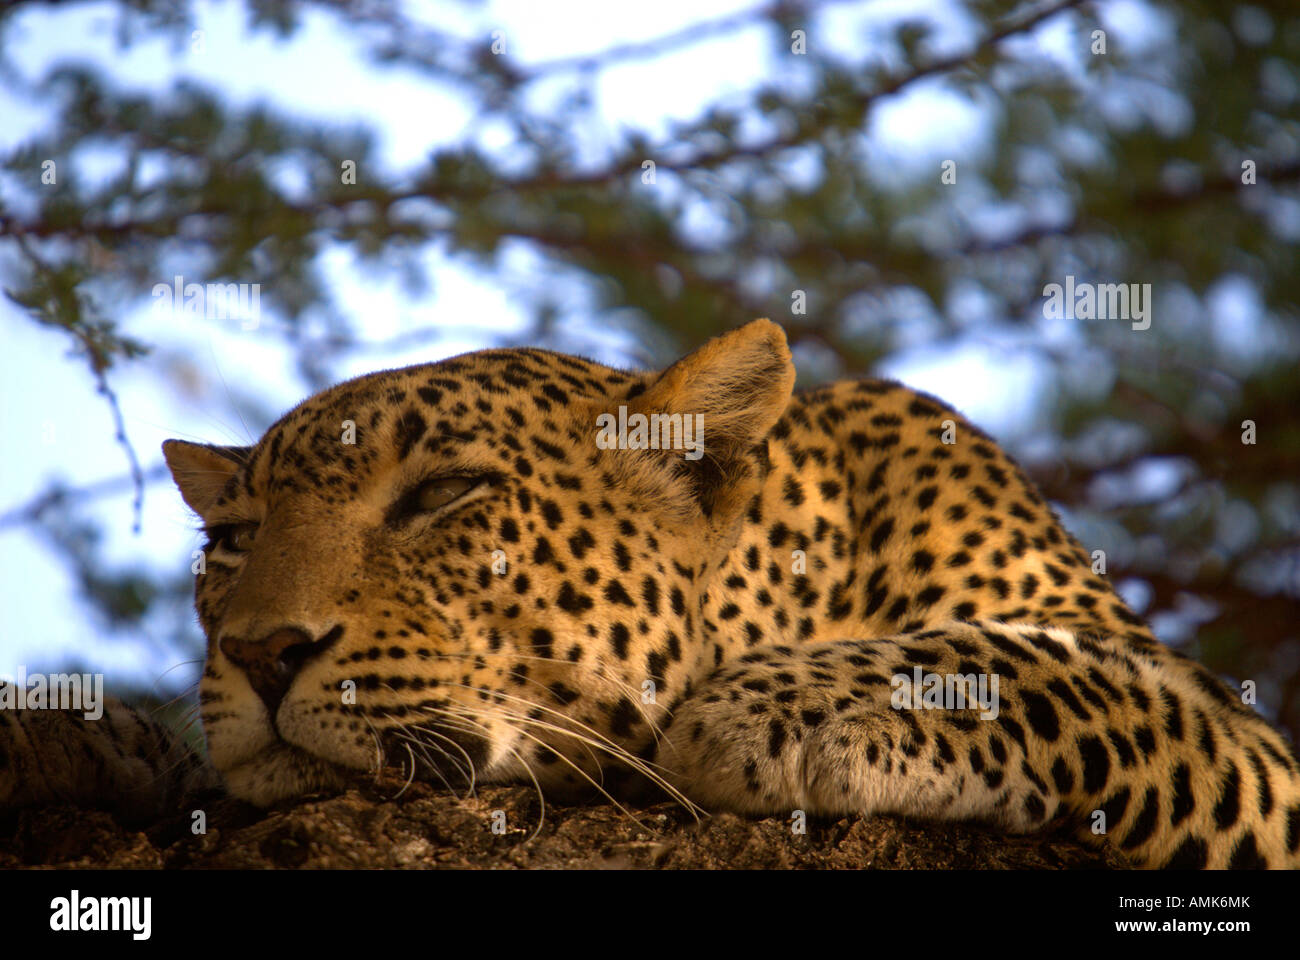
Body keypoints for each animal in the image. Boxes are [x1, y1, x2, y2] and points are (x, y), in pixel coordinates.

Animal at [2, 319, 1297, 868]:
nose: (263, 652)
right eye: (230, 539)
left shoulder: (1243, 744)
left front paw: (784, 711)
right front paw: (68, 738)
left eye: (444, 494)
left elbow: (1058, 666)